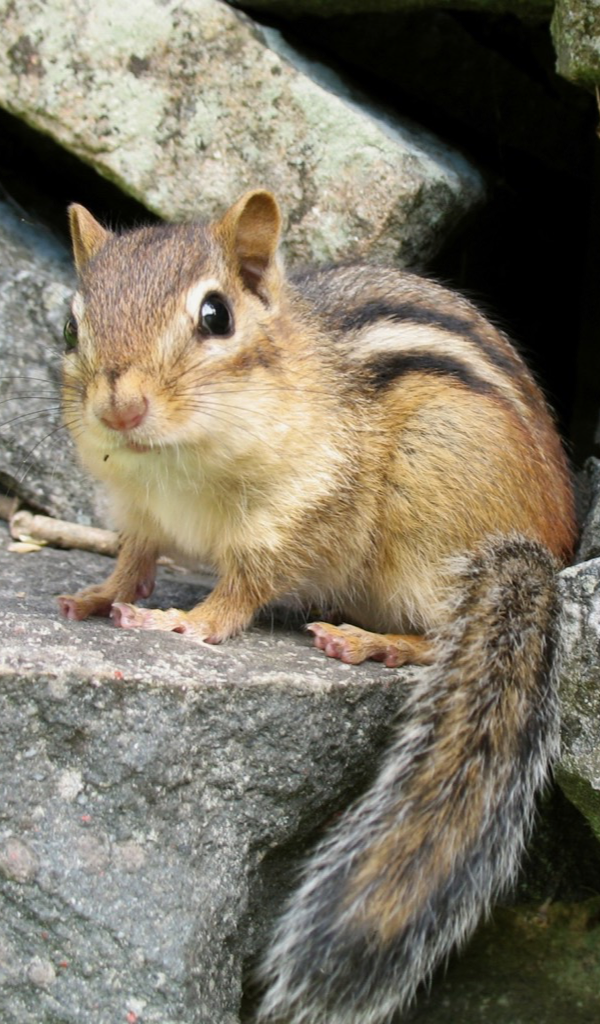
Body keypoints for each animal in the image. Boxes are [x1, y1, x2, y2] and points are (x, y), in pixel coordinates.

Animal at [57, 190, 575, 1023]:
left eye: (215, 316)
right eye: (72, 325)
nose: (121, 408)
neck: (177, 467)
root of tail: (543, 554)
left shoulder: (305, 509)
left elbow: (245, 587)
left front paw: (185, 621)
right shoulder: (138, 509)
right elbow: (136, 554)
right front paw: (98, 592)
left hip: (434, 533)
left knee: (442, 634)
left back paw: (372, 642)